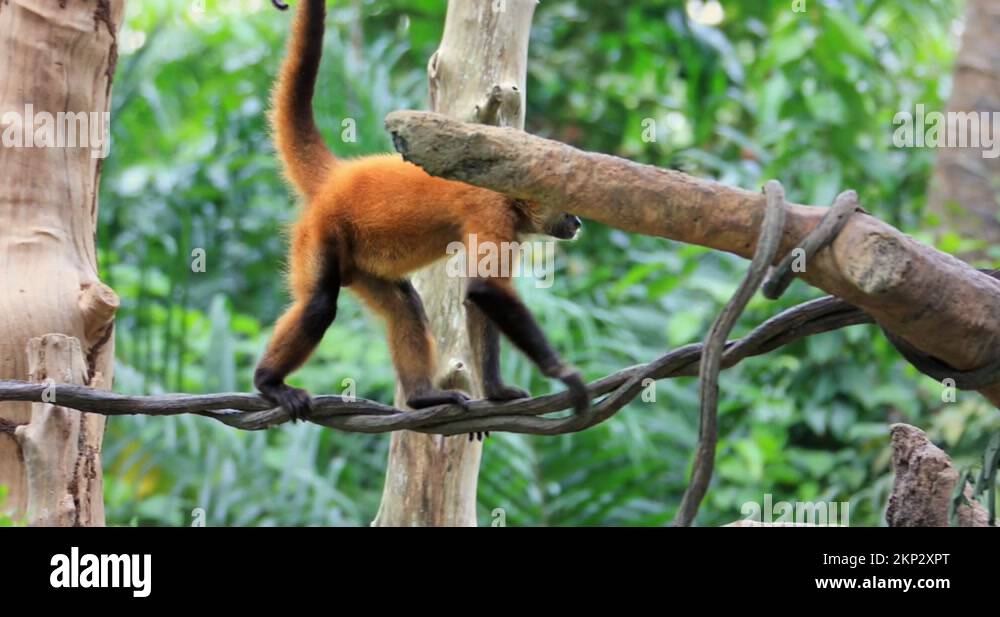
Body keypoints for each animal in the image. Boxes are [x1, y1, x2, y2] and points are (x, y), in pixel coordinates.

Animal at [255, 0, 588, 422]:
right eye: (569, 205)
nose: (577, 221)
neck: (509, 191)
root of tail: (338, 176)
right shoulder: (492, 210)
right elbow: (485, 288)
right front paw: (564, 374)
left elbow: (476, 296)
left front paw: (496, 391)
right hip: (322, 232)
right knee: (319, 306)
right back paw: (268, 381)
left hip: (358, 261)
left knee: (405, 307)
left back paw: (421, 397)